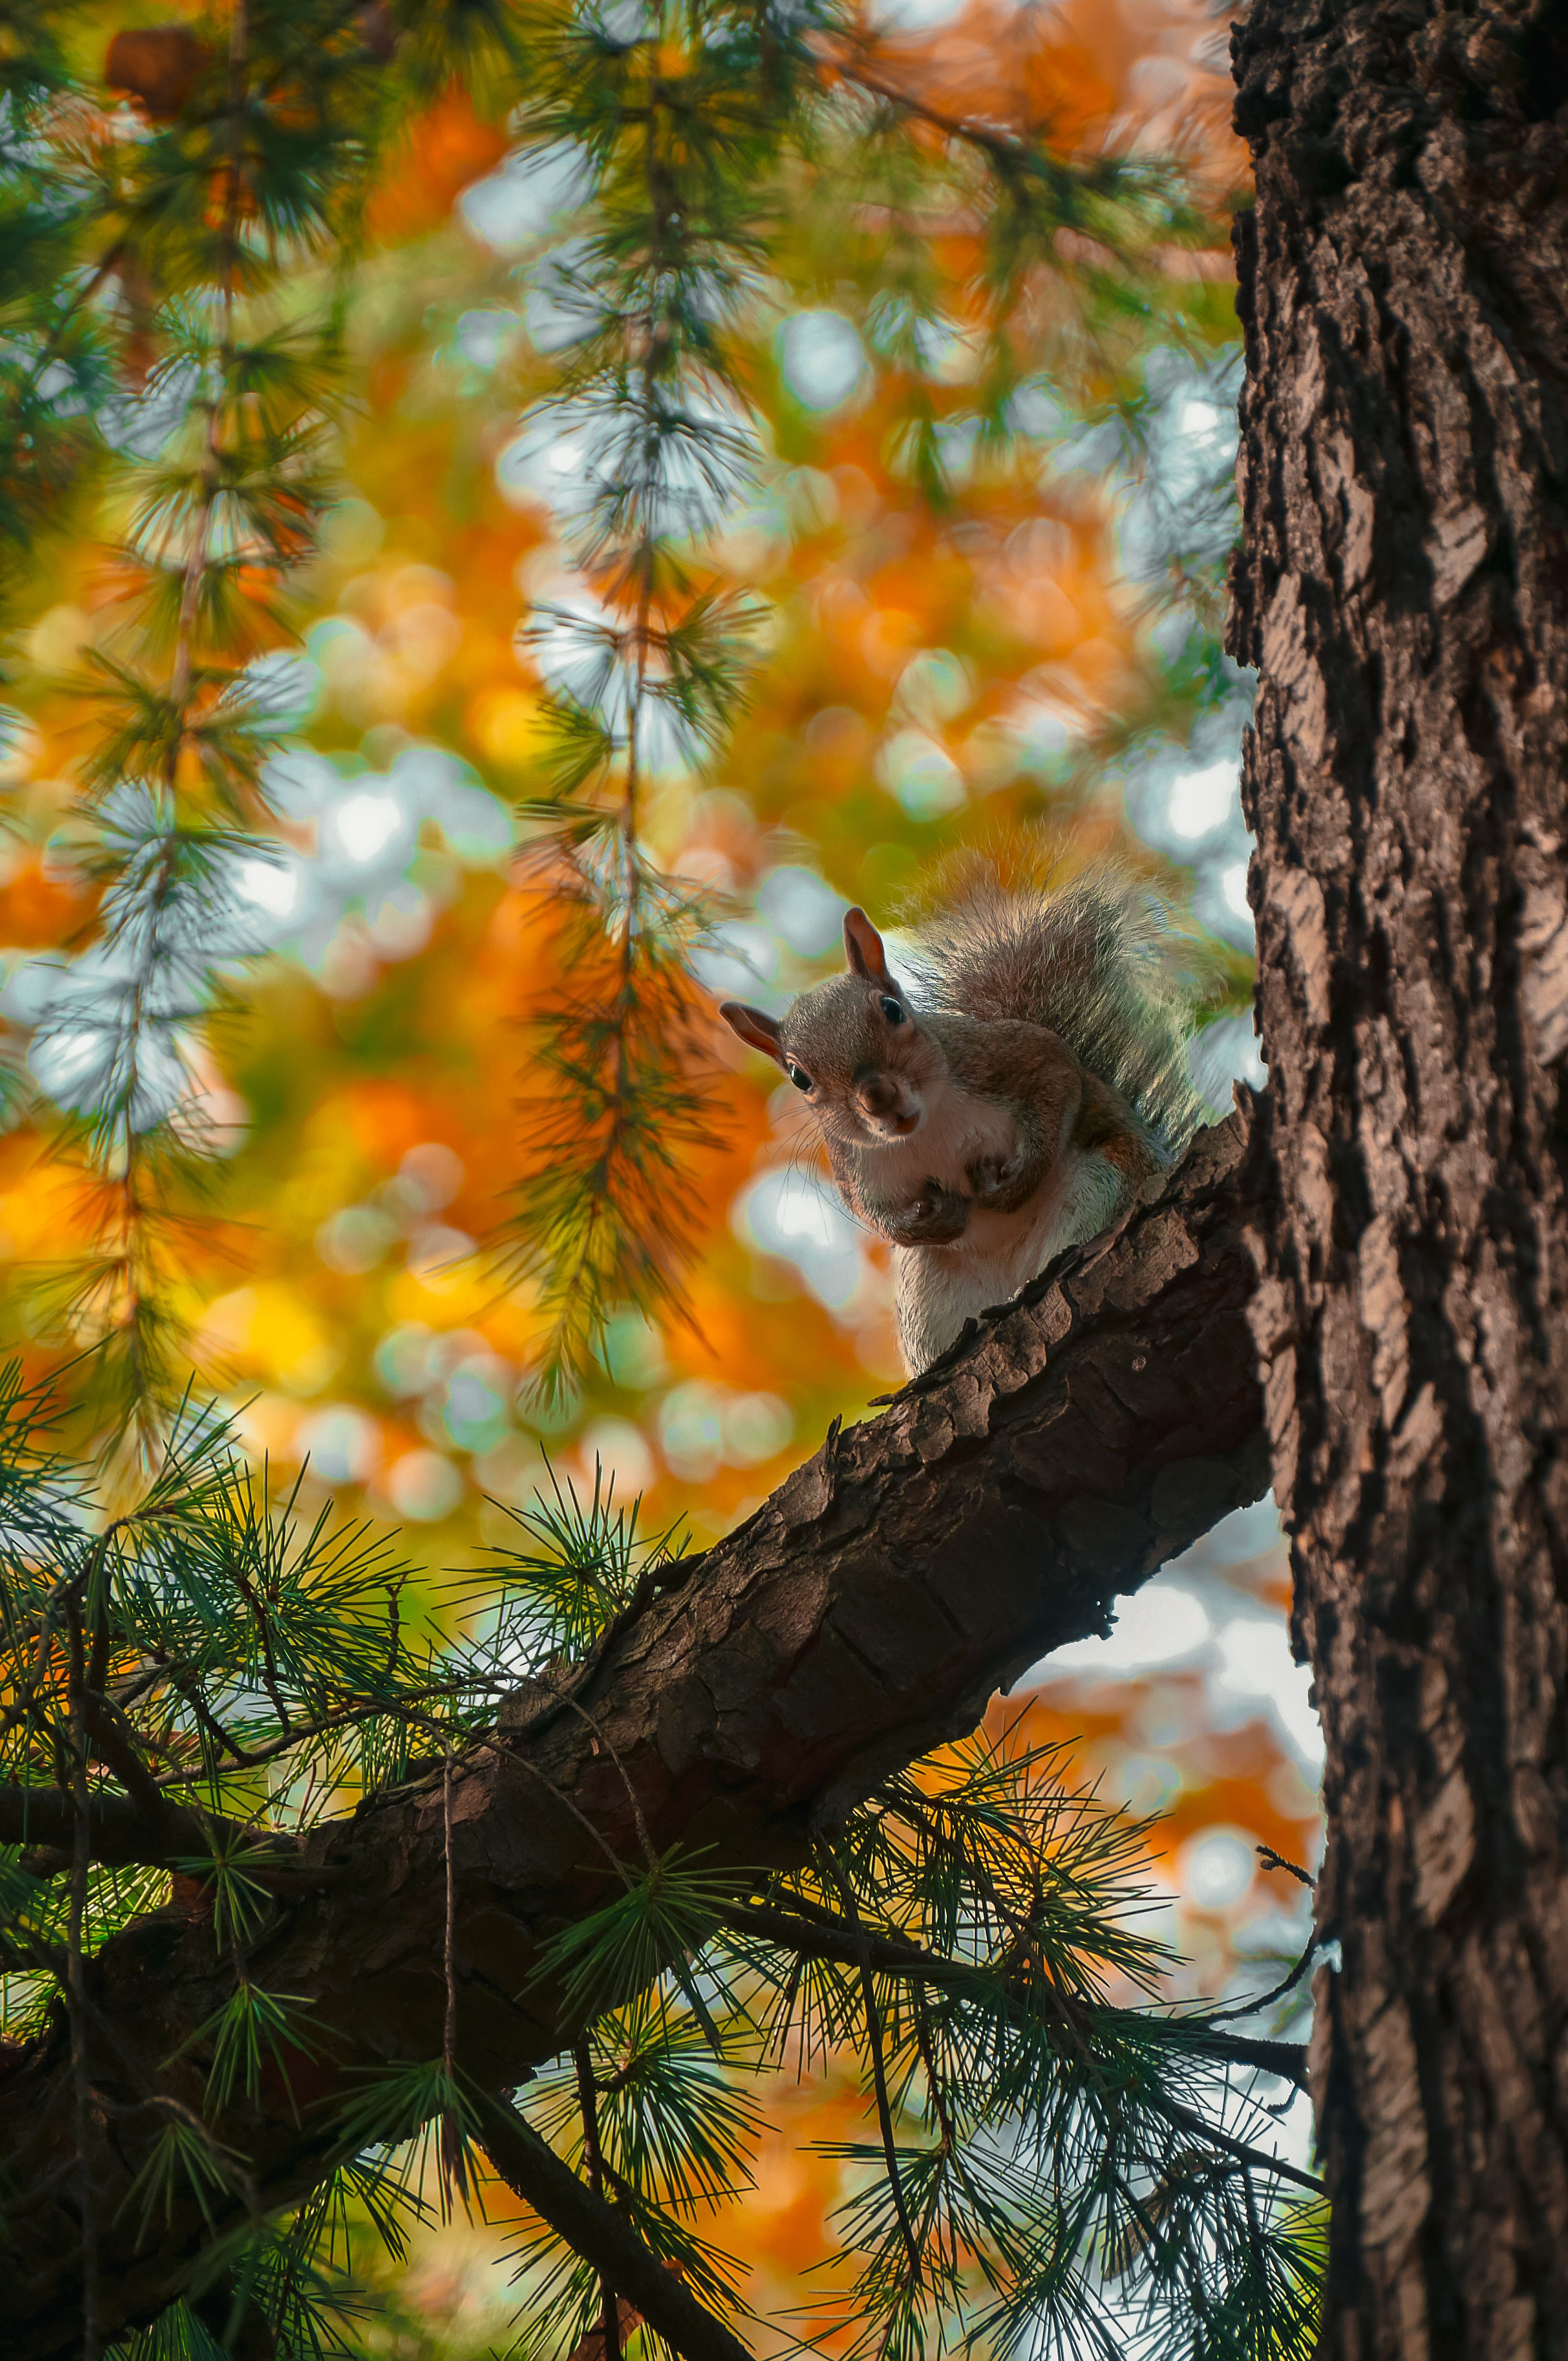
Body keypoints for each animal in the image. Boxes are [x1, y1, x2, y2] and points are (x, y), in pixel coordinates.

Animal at [720, 860, 1208, 1374]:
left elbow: (1056, 1080)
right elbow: (873, 1214)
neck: (926, 1128)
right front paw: (930, 1224)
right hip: (926, 1295)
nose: (878, 1097)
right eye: (799, 1077)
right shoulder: (856, 1167)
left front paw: (1015, 1185)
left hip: (1104, 1182)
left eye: (892, 1010)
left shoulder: (1002, 1056)